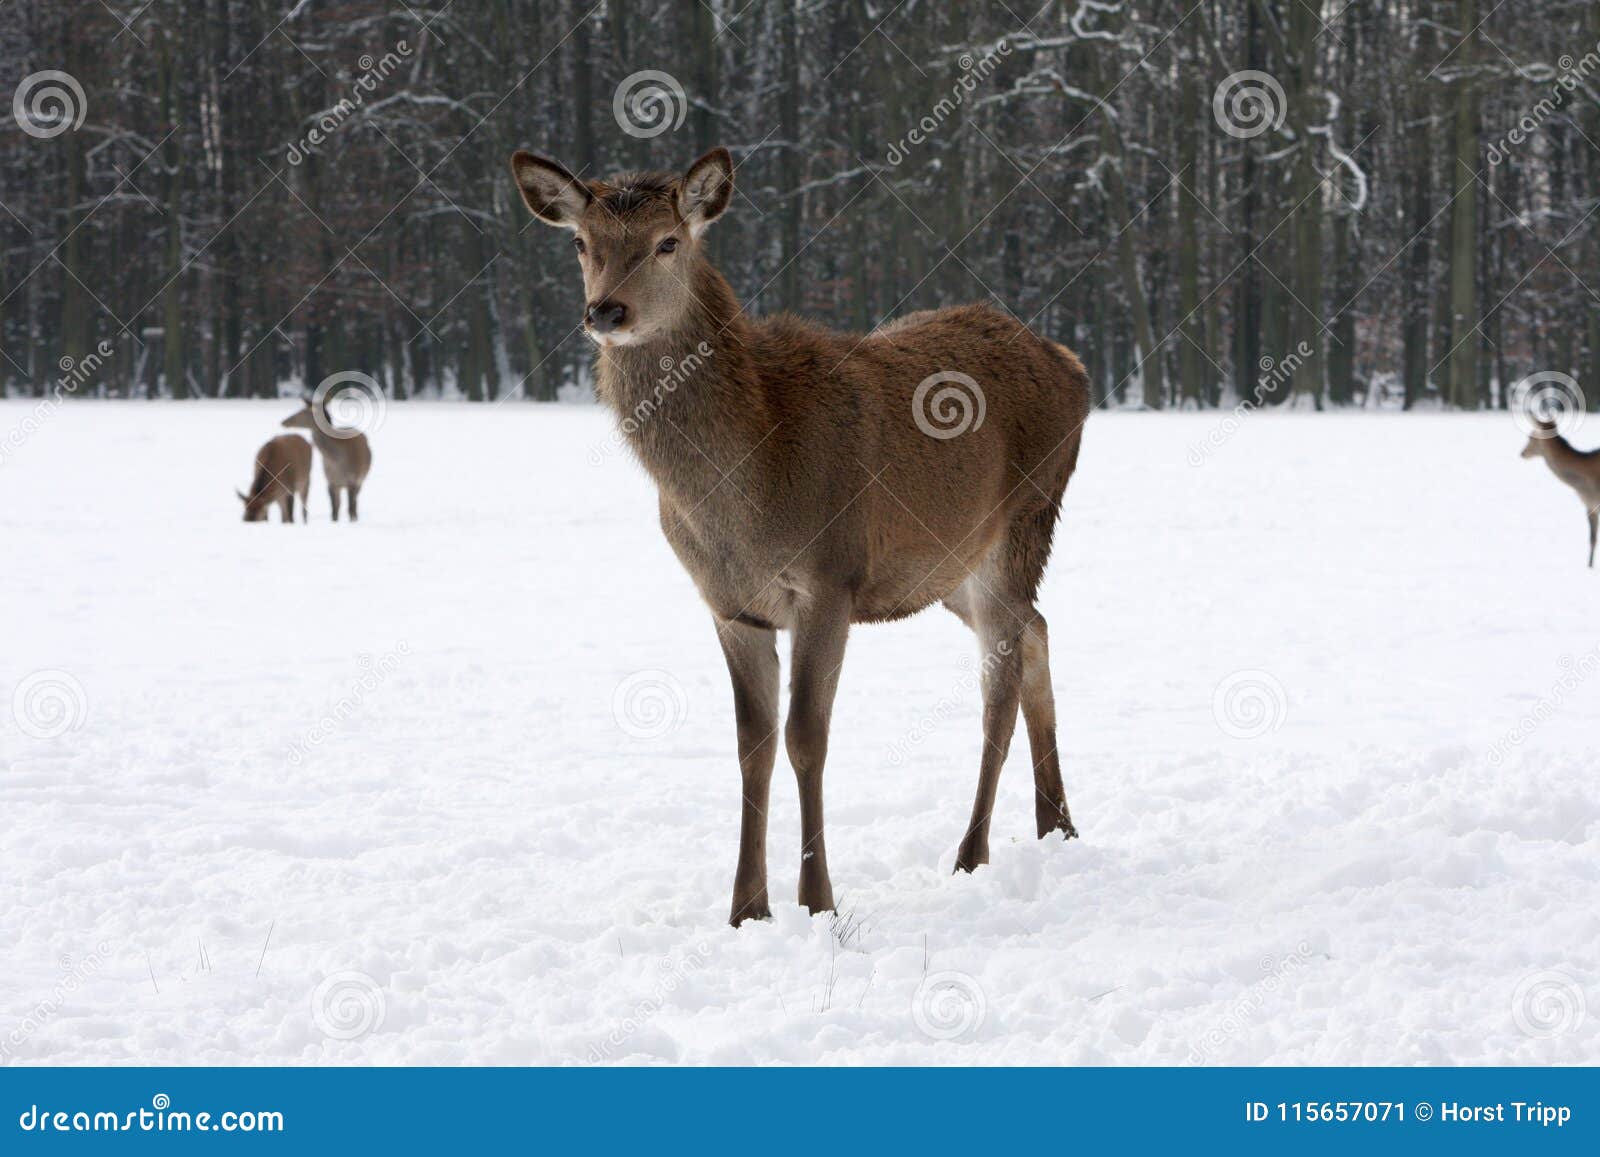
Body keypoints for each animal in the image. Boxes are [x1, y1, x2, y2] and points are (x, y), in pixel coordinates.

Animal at [511, 146, 1091, 926]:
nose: (606, 310)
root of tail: (1075, 366)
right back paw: (1057, 824)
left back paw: (973, 853)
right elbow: (751, 744)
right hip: (949, 569)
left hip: (1023, 520)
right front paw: (746, 909)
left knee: (998, 679)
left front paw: (817, 900)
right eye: (581, 242)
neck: (742, 489)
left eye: (668, 242)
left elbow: (805, 736)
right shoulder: (731, 604)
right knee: (1037, 630)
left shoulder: (830, 578)